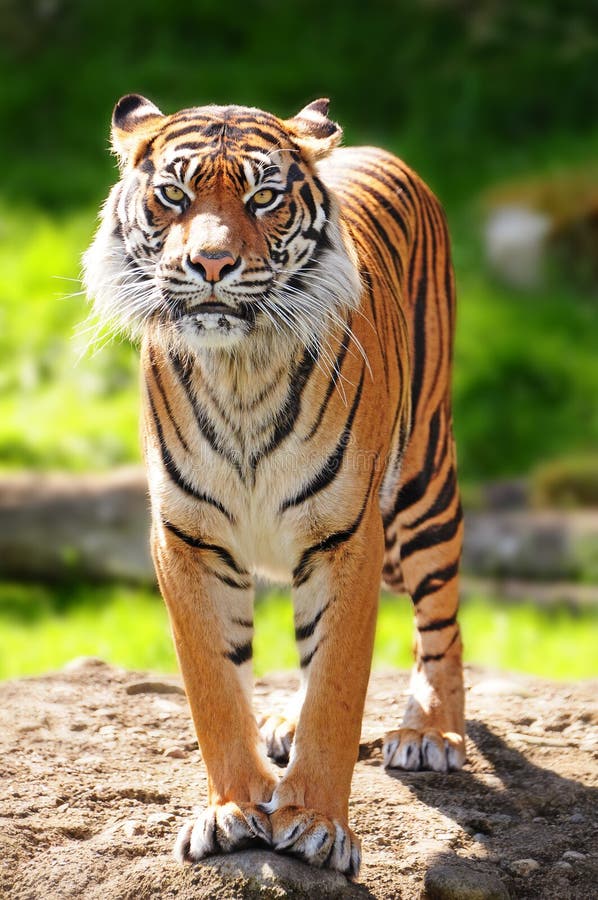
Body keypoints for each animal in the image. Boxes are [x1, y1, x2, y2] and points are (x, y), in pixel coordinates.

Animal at [83, 94, 465, 878]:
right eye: (174, 196)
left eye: (263, 198)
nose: (210, 263)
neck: (240, 369)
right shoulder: (188, 537)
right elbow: (214, 688)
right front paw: (235, 810)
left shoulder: (347, 534)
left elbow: (339, 687)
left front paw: (317, 825)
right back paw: (286, 721)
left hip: (423, 482)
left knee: (440, 620)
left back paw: (432, 733)